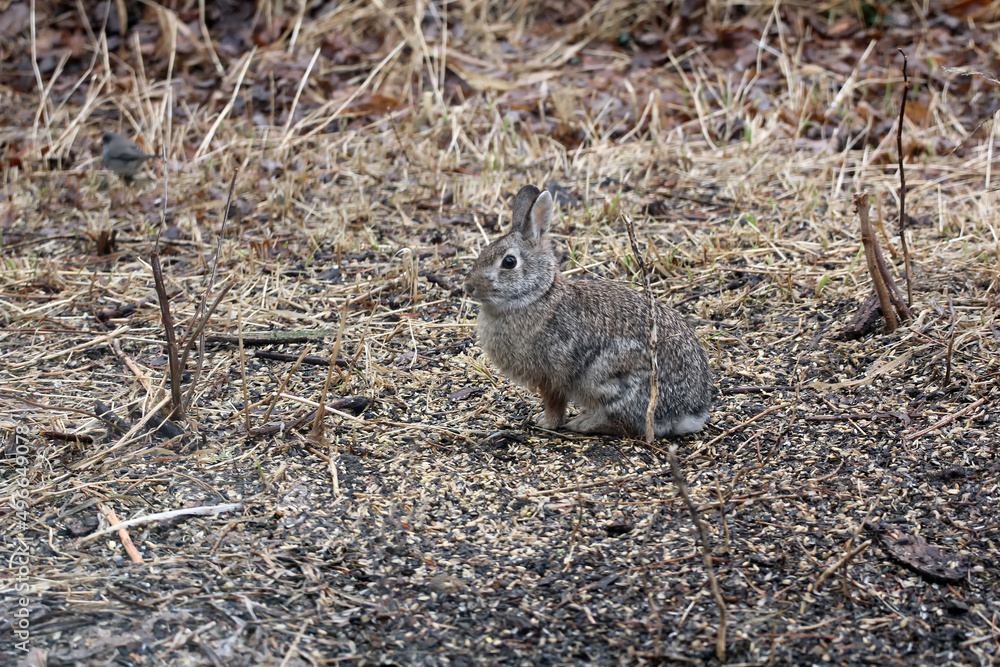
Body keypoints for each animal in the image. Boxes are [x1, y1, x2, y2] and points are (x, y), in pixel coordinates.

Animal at [464, 184, 715, 438]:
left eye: (509, 262)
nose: (469, 287)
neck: (537, 296)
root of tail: (689, 412)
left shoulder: (551, 377)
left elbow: (554, 403)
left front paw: (545, 423)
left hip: (607, 378)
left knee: (626, 423)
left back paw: (585, 423)